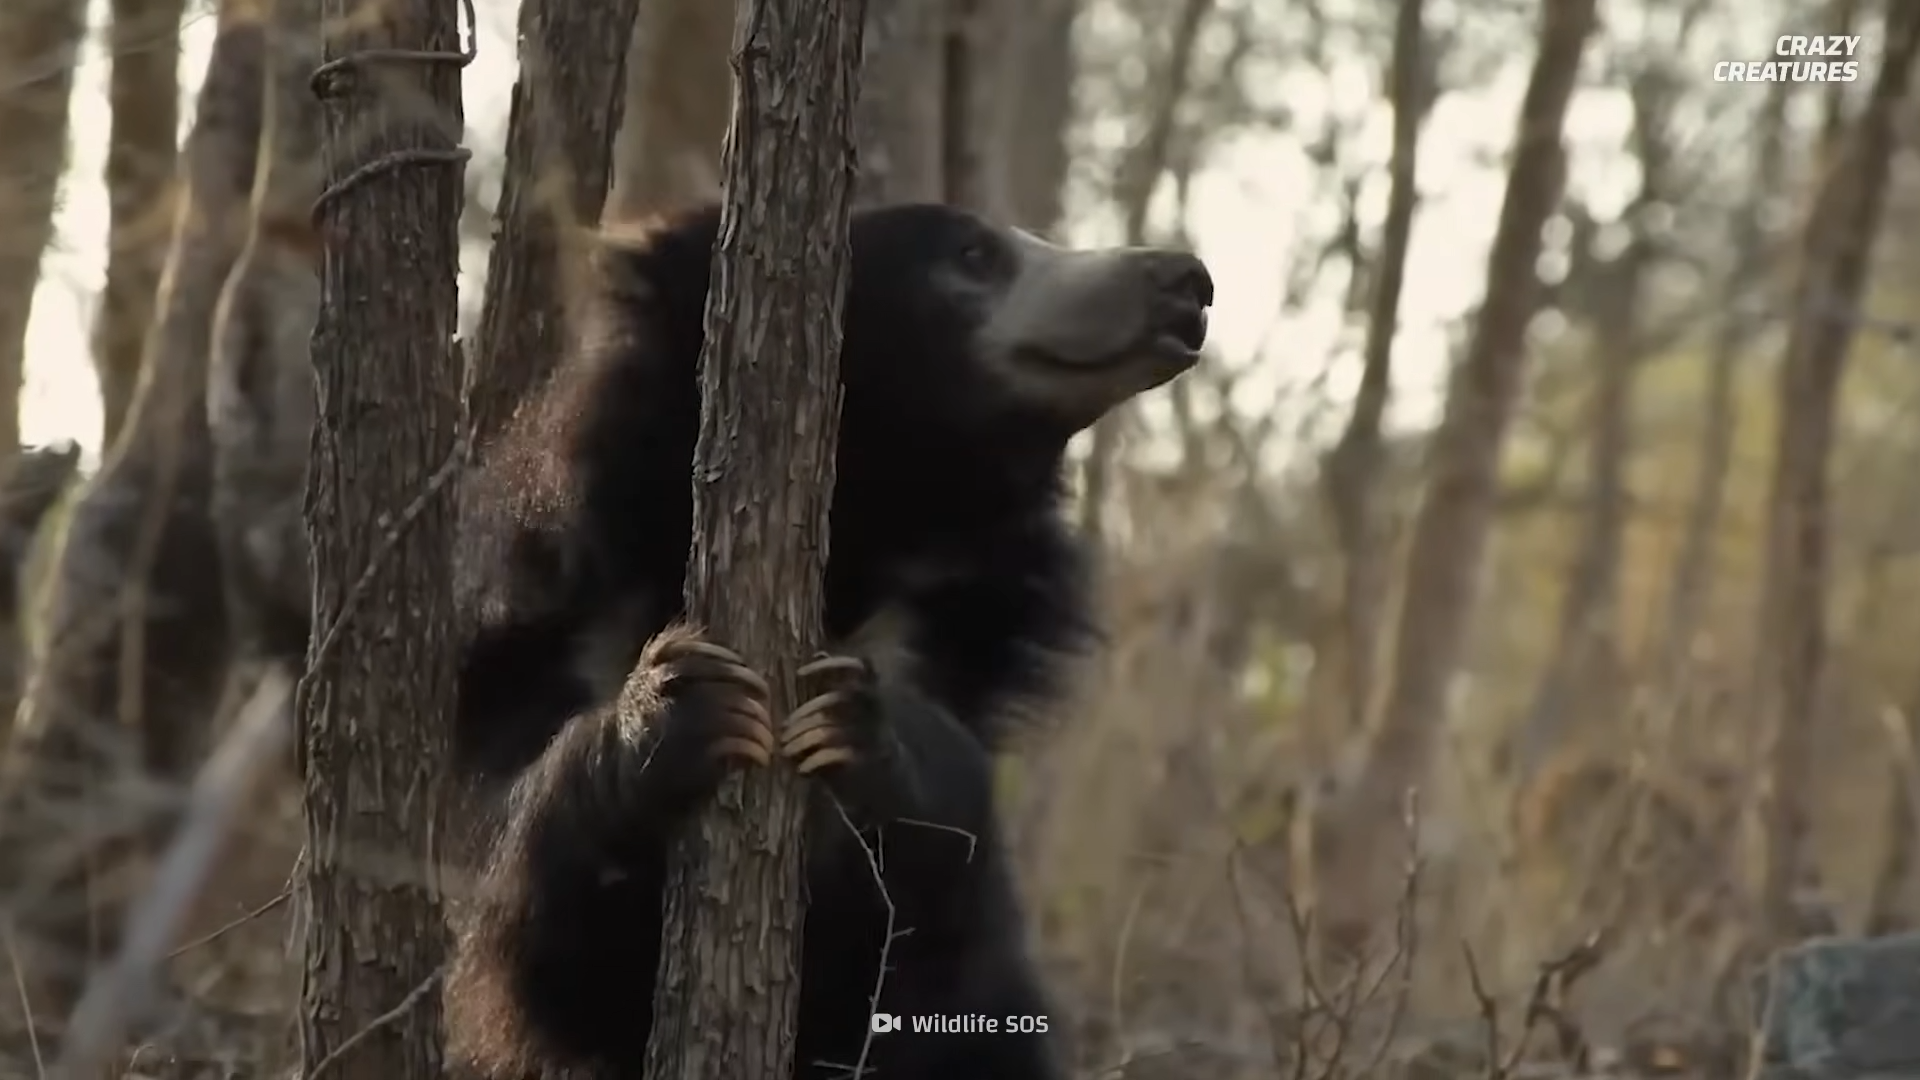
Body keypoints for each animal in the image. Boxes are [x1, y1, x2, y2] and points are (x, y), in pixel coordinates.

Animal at [444, 200, 1214, 1080]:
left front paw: (853, 727)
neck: (859, 547)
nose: (1186, 283)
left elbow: (943, 913)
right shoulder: (536, 640)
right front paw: (676, 710)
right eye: (973, 256)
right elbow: (532, 936)